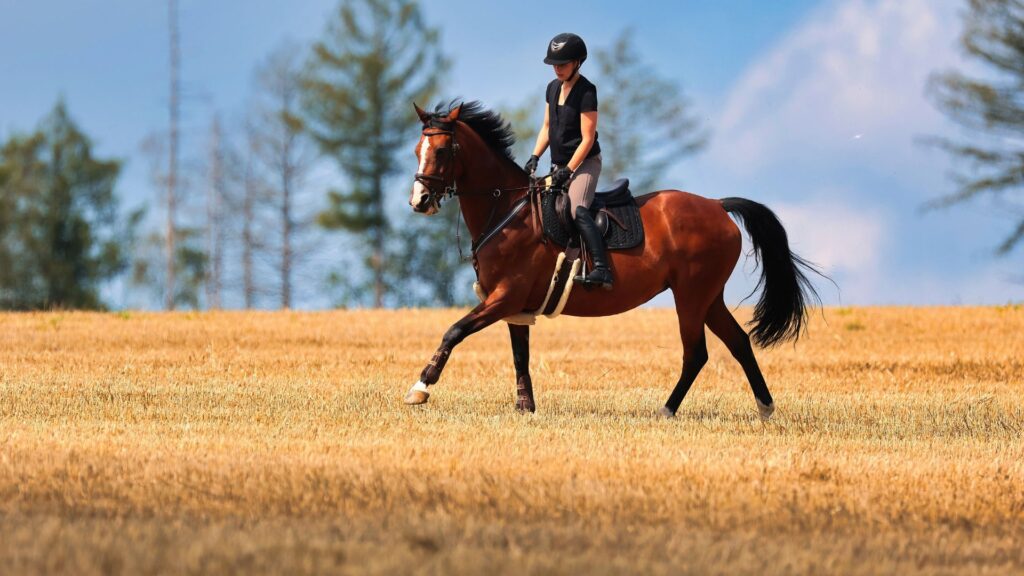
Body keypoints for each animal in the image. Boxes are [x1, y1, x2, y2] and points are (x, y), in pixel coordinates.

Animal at [404, 101, 820, 419]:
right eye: (416, 151)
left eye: (442, 151)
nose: (419, 201)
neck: (507, 209)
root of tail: (717, 206)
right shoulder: (514, 306)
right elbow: (520, 355)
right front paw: (525, 407)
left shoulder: (505, 296)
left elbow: (454, 331)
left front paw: (421, 386)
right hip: (709, 297)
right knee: (738, 343)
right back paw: (764, 407)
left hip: (691, 295)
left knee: (696, 353)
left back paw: (667, 410)